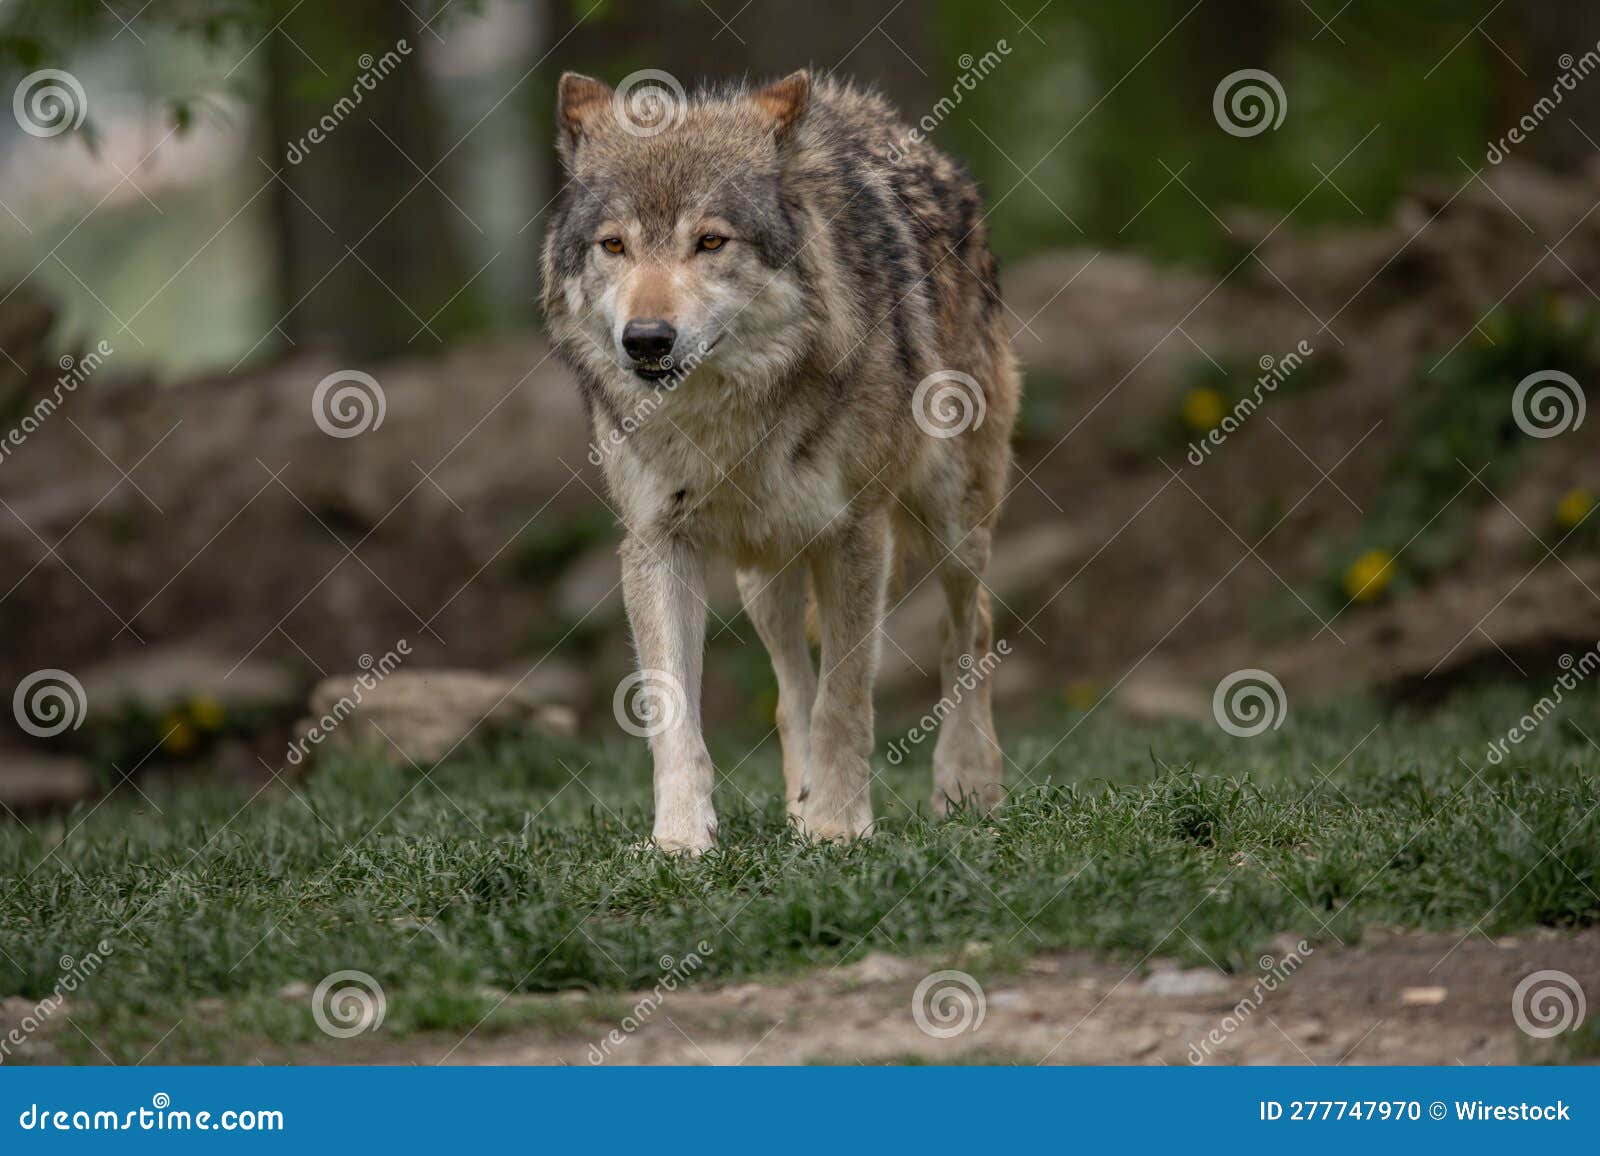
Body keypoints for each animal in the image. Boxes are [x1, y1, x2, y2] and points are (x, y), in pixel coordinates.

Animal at [541, 69, 1020, 852]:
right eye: (613, 245)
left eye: (710, 241)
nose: (646, 339)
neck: (725, 419)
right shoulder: (655, 542)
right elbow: (676, 713)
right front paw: (681, 840)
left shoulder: (858, 535)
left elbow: (844, 700)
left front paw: (839, 828)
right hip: (765, 574)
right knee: (790, 688)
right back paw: (796, 805)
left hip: (951, 522)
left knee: (969, 626)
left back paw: (967, 786)